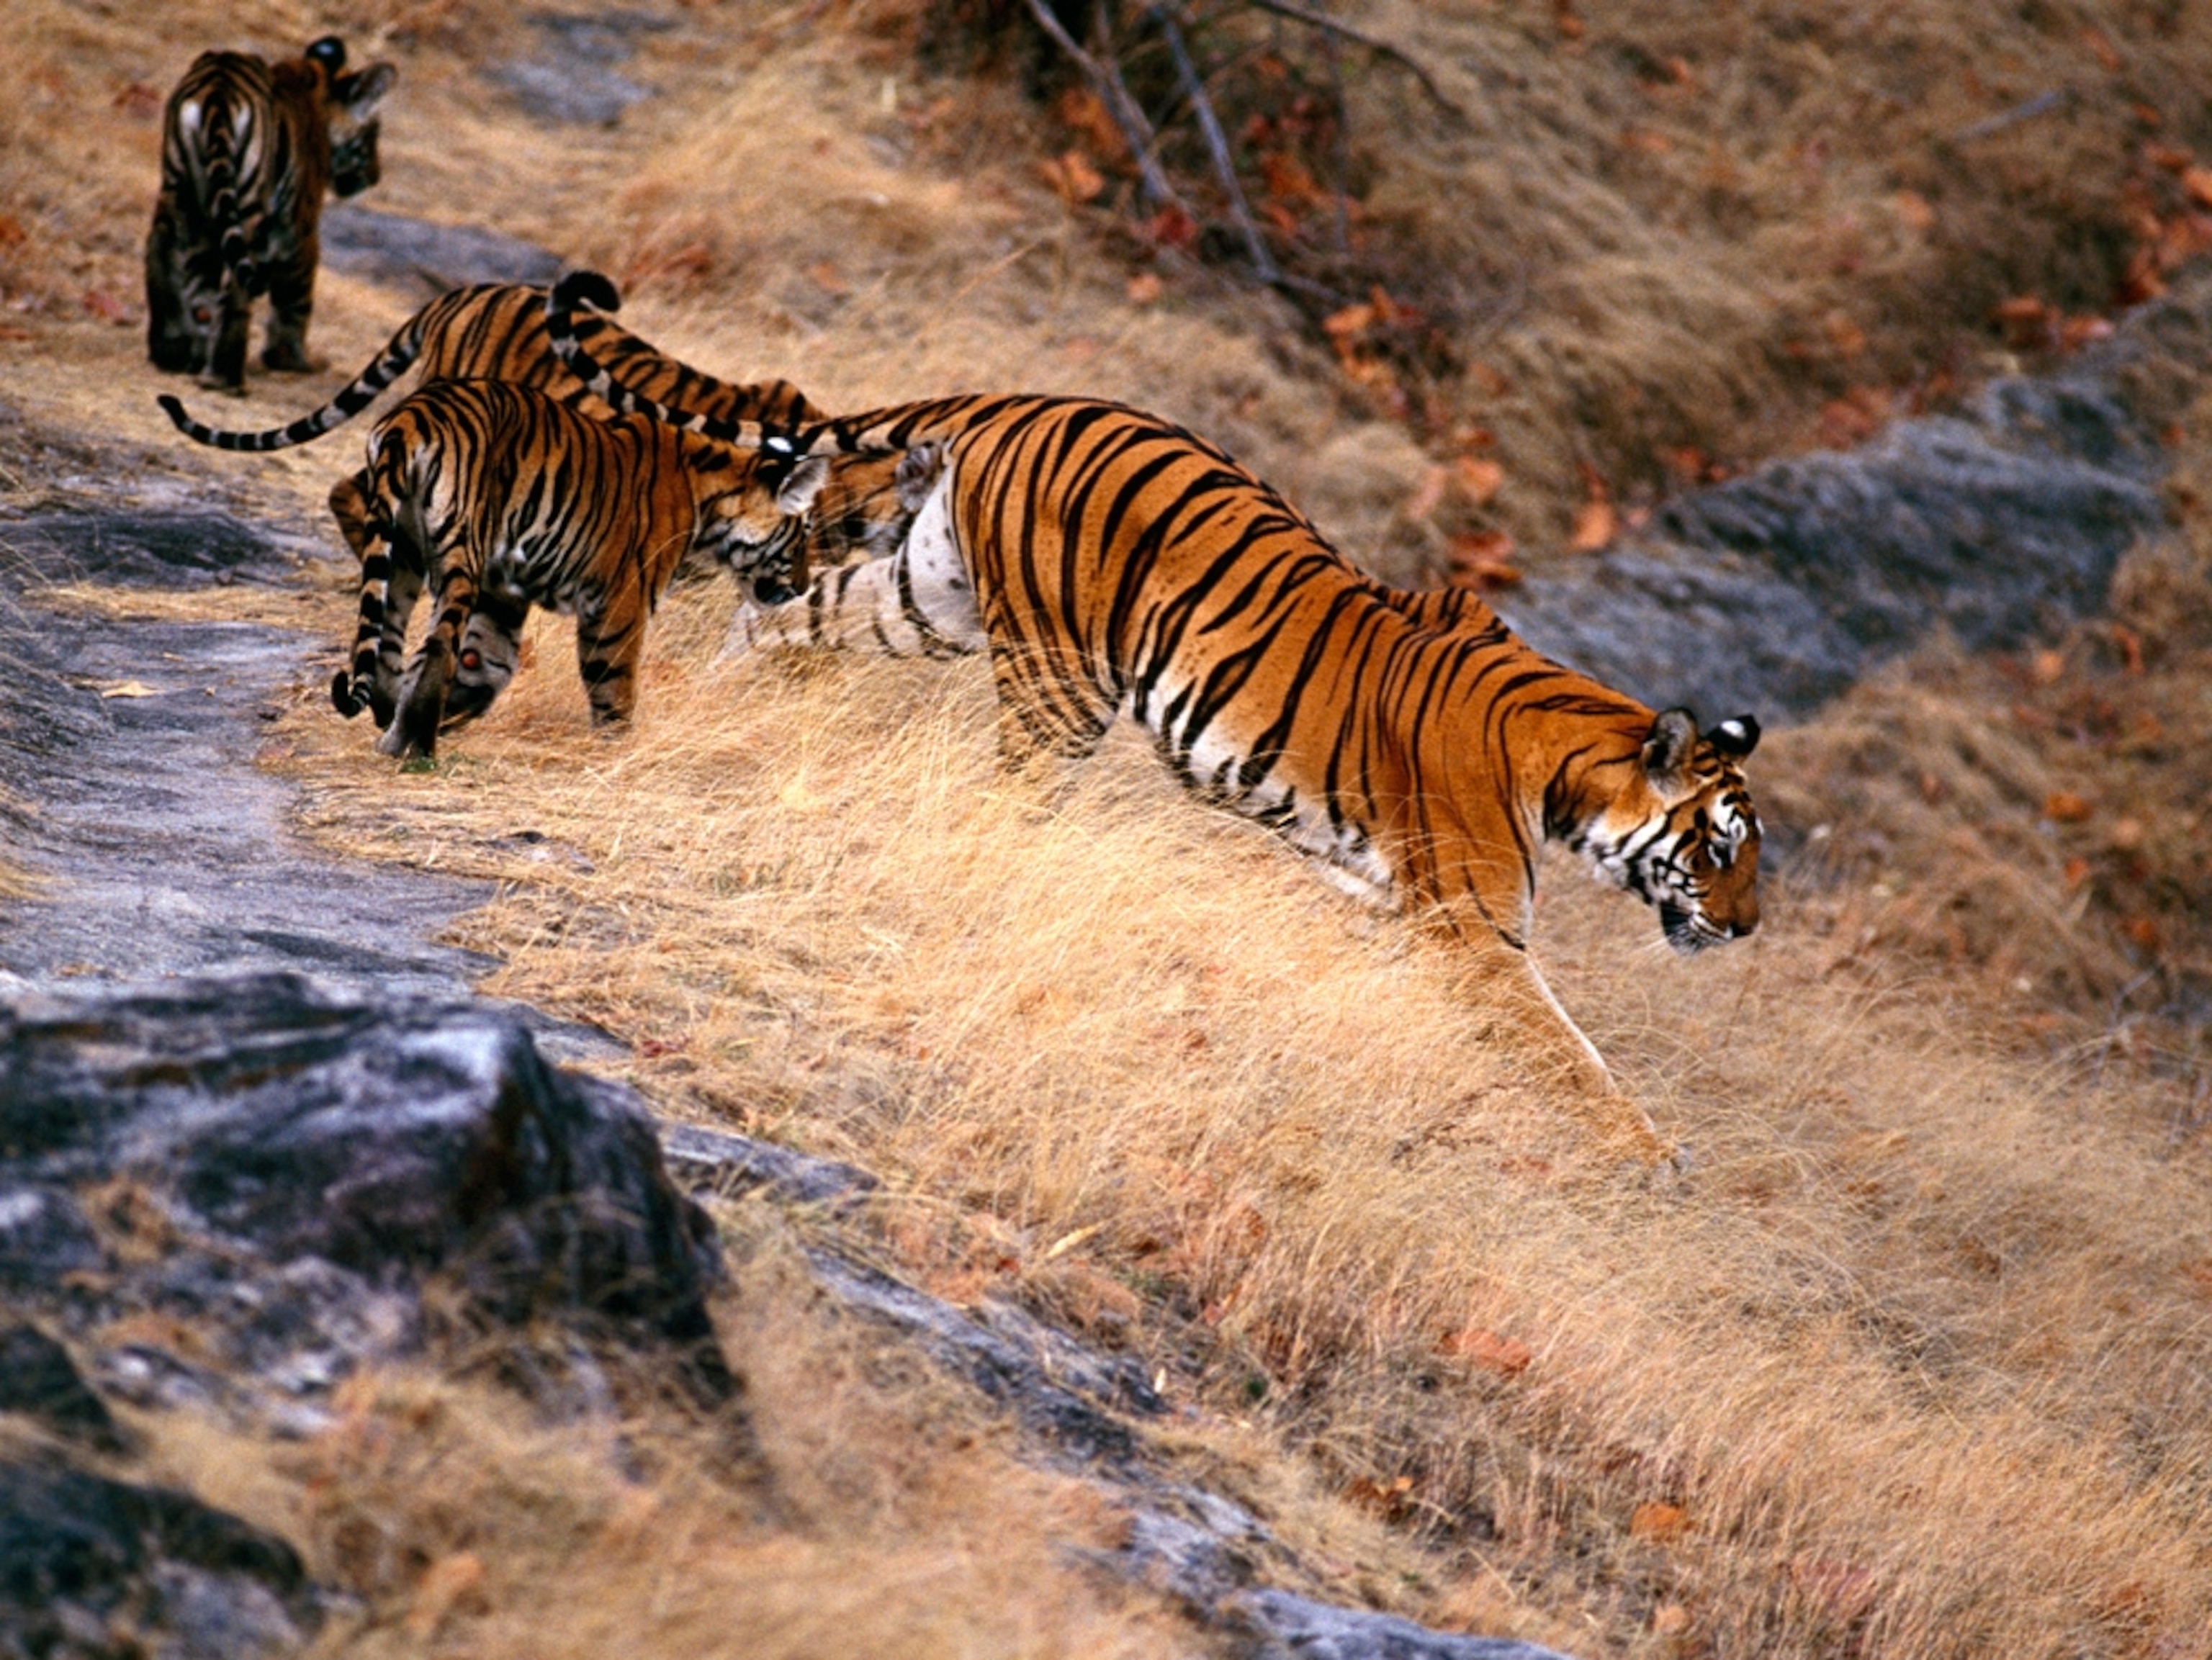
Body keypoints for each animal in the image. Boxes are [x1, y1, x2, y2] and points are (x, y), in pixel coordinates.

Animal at [146, 35, 396, 394]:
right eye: (371, 135)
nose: (376, 176)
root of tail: (218, 88)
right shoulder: (302, 228)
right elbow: (297, 299)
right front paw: (295, 360)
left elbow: (200, 285)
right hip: (247, 203)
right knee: (236, 292)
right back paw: (227, 378)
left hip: (176, 191)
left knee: (161, 251)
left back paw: (170, 353)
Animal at [325, 378, 829, 760]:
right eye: (804, 533)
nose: (804, 586)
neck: (711, 495)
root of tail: (411, 416)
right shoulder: (622, 601)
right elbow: (615, 685)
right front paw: (619, 751)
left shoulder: (502, 591)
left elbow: (490, 665)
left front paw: (459, 710)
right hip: (458, 550)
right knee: (437, 647)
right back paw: (419, 749)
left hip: (403, 551)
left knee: (388, 644)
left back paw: (394, 730)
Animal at [546, 271, 1764, 1160]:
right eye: (1721, 847)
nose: (1750, 929)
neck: (1569, 768)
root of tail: (1024, 398)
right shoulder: (1473, 927)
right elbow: (1572, 1054)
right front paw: (1651, 1164)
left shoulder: (1388, 904)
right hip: (1060, 674)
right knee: (1002, 797)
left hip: (925, 600)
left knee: (786, 613)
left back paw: (713, 710)